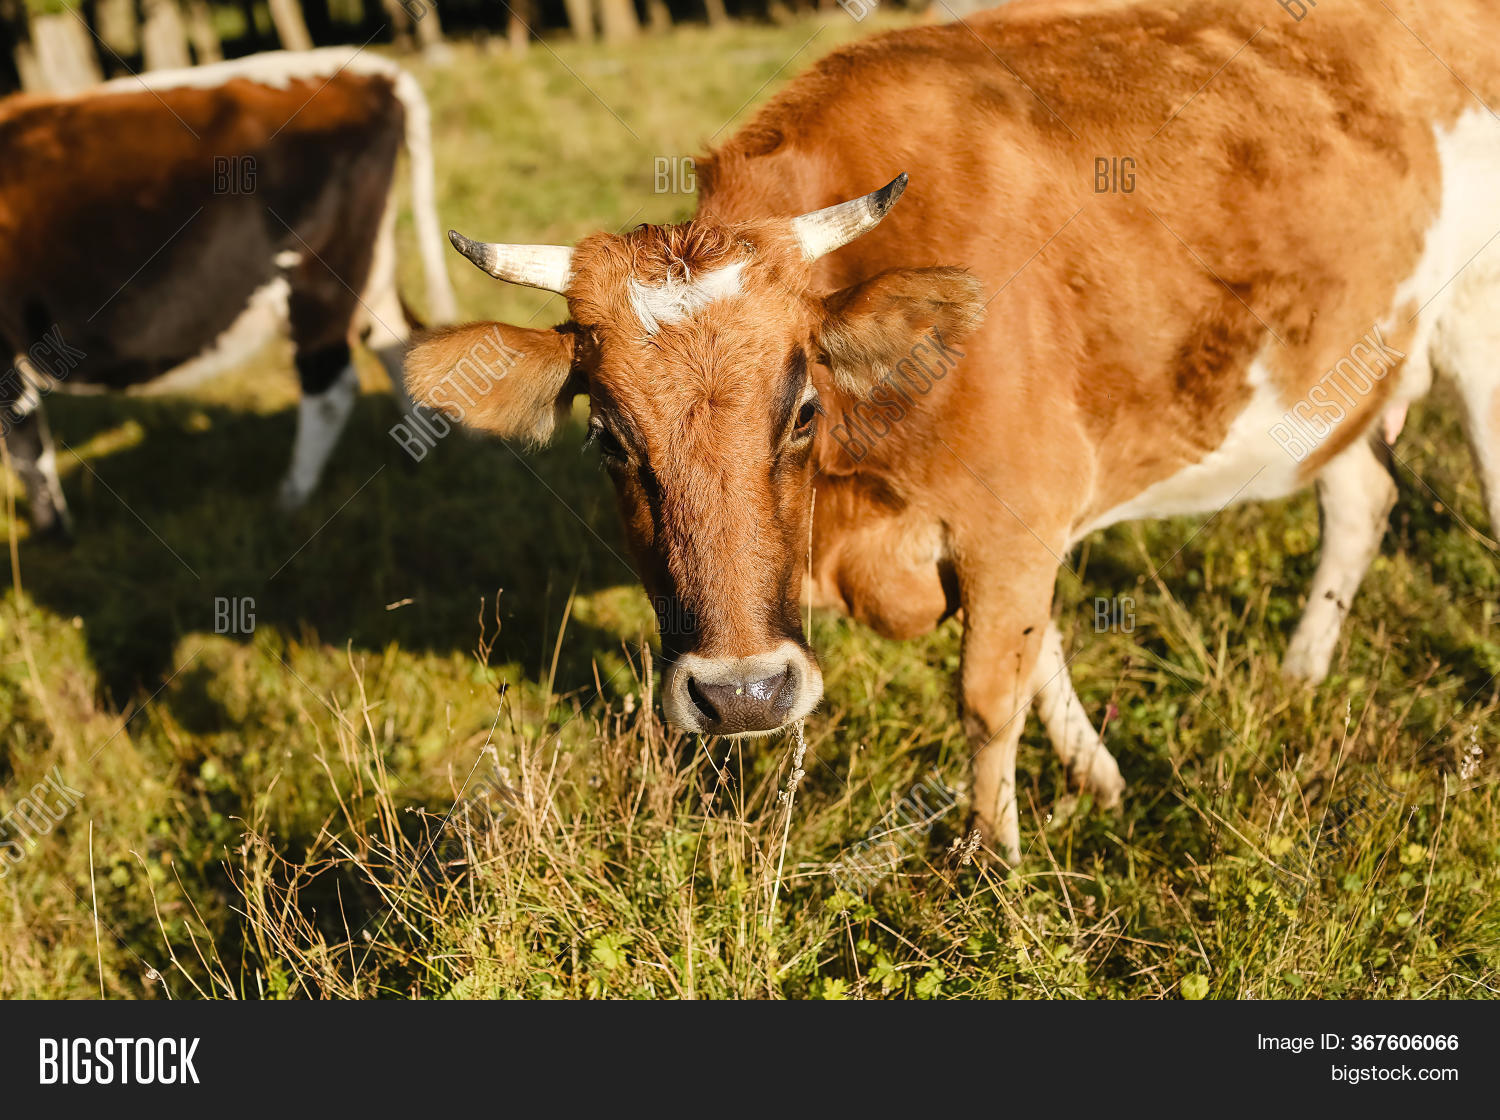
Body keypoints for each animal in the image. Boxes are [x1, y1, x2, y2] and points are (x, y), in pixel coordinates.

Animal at [0, 47, 457, 537]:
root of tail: (372, 72)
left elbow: (27, 454)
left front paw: (56, 536)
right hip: (369, 270)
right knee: (400, 348)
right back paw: (419, 461)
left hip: (320, 279)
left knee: (330, 390)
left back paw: (289, 502)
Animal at [405, 0, 1500, 863]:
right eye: (607, 438)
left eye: (804, 410)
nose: (745, 696)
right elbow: (1035, 643)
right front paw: (1098, 775)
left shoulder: (1015, 505)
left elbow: (988, 691)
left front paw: (993, 862)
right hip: (1352, 370)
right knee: (1361, 495)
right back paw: (1302, 672)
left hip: (1476, 326)